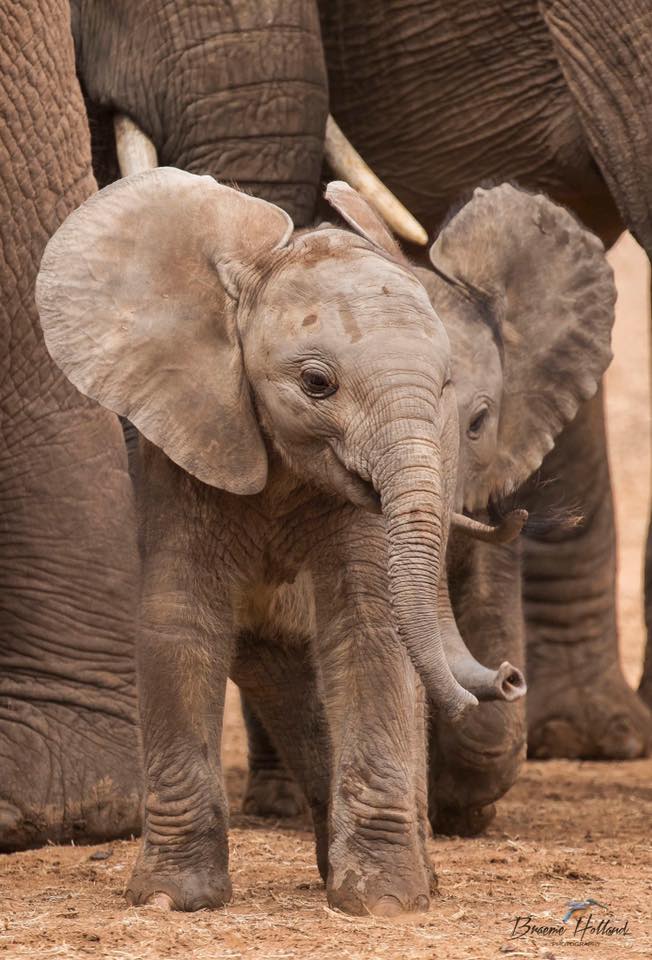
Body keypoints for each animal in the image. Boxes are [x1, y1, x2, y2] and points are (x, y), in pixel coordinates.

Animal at [35, 169, 613, 913]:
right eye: (317, 383)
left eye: (467, 406)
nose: (510, 680)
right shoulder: (190, 449)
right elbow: (178, 622)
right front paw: (172, 899)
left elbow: (371, 627)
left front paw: (382, 903)